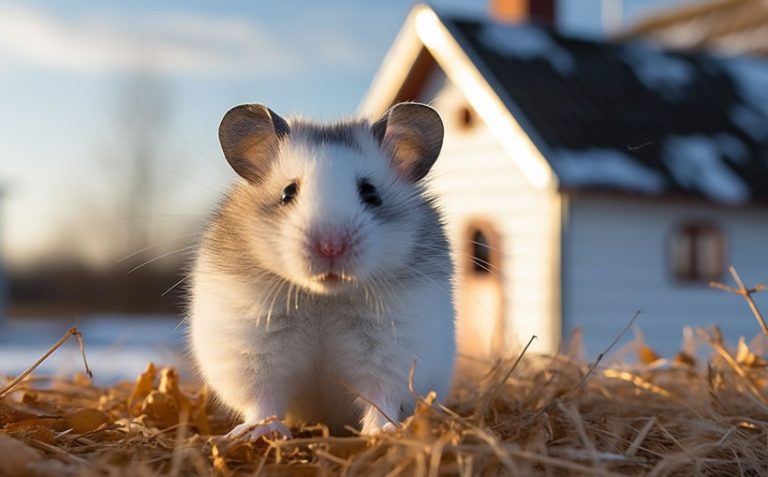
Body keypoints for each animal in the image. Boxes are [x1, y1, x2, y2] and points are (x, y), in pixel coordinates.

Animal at [188, 102, 455, 439]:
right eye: (288, 192)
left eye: (371, 193)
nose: (330, 247)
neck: (324, 297)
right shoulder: (255, 352)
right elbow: (263, 400)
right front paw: (261, 433)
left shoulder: (393, 351)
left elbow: (380, 396)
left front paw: (381, 433)